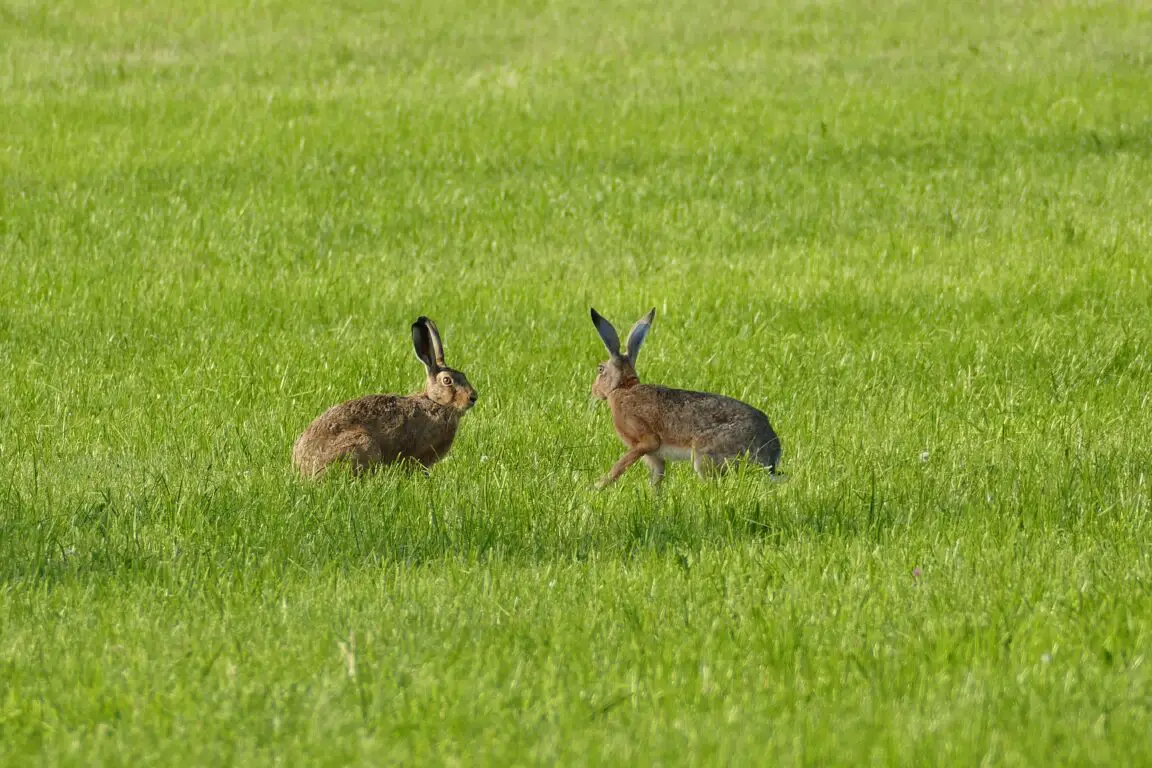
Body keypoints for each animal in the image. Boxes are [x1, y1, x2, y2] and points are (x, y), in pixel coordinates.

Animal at [589, 308, 781, 489]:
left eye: (600, 369)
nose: (593, 390)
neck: (622, 389)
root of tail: (771, 451)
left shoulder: (645, 440)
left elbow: (619, 466)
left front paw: (597, 487)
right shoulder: (655, 456)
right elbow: (657, 477)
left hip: (704, 456)